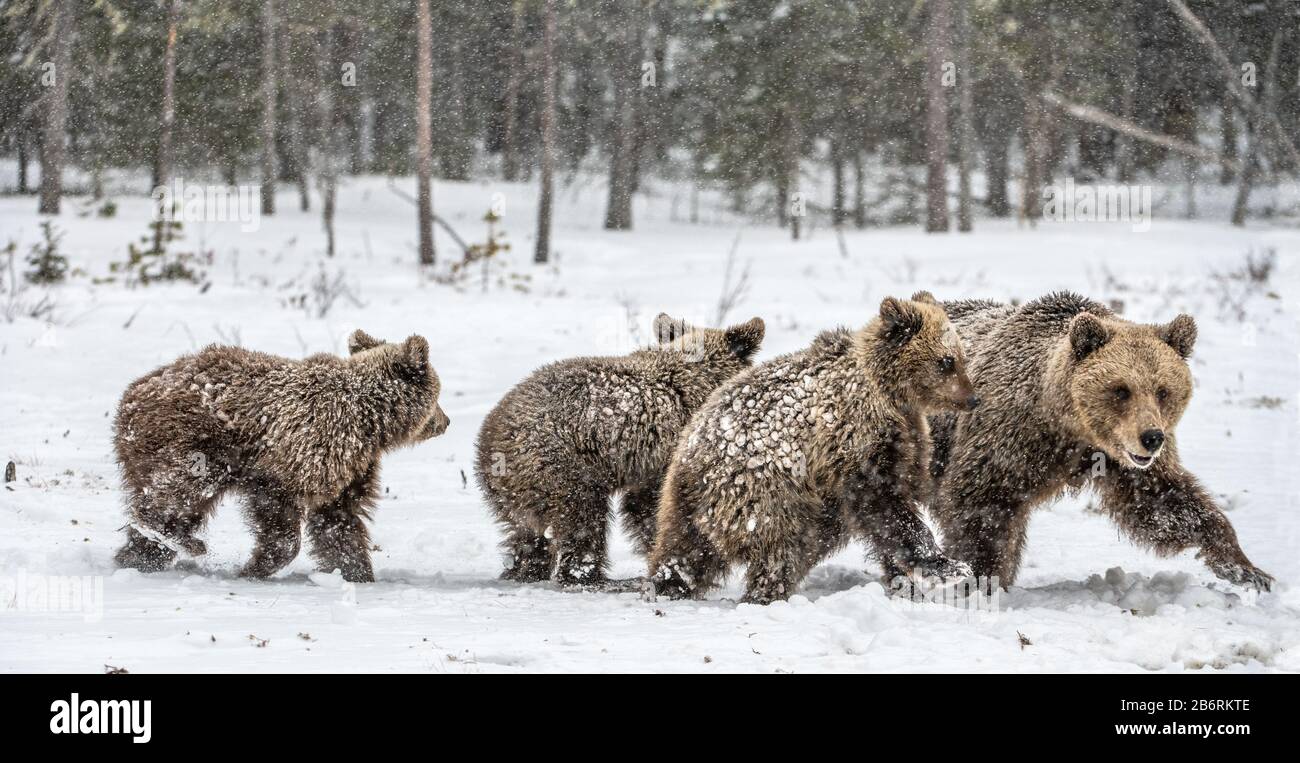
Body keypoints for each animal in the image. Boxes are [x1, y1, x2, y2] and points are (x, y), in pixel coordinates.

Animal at [112, 329, 449, 582]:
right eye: (438, 394)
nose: (446, 421)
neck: (370, 421)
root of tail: (132, 392)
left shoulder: (351, 467)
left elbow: (339, 522)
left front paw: (356, 572)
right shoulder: (295, 454)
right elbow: (278, 514)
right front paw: (256, 566)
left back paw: (139, 556)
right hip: (190, 439)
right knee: (183, 489)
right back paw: (178, 539)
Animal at [475, 313, 765, 586]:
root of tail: (489, 441)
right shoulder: (665, 453)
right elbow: (650, 505)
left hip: (518, 494)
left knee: (526, 535)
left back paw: (523, 570)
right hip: (558, 465)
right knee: (582, 518)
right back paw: (595, 577)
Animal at [648, 292, 980, 605]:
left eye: (961, 357)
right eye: (946, 361)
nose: (973, 398)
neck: (891, 395)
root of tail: (690, 459)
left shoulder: (906, 436)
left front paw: (907, 581)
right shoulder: (856, 438)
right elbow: (884, 503)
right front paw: (946, 565)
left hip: (684, 502)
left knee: (684, 550)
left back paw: (668, 583)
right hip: (765, 492)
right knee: (783, 548)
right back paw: (765, 594)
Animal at [928, 292, 1272, 590]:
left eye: (1163, 390)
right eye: (1121, 389)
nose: (1151, 438)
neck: (1069, 426)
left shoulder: (1120, 461)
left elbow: (1162, 503)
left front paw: (1245, 568)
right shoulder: (1010, 437)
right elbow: (983, 505)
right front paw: (979, 580)